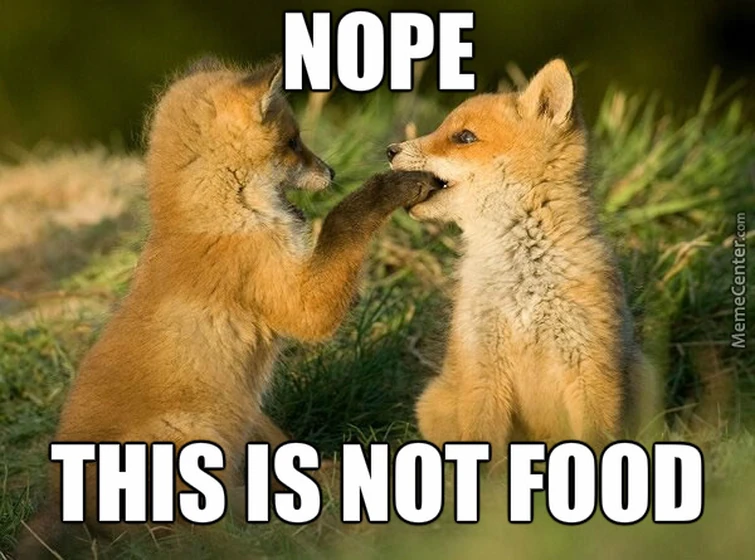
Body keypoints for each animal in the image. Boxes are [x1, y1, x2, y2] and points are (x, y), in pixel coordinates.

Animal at [16, 58, 437, 557]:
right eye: (292, 143)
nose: (333, 171)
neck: (220, 214)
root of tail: (61, 502)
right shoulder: (297, 303)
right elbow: (342, 223)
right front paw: (386, 189)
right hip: (190, 440)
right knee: (199, 529)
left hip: (251, 419)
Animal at [388, 59, 662, 461]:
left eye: (464, 137)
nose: (390, 150)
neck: (524, 284)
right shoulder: (483, 367)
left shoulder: (590, 366)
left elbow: (596, 440)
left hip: (644, 379)